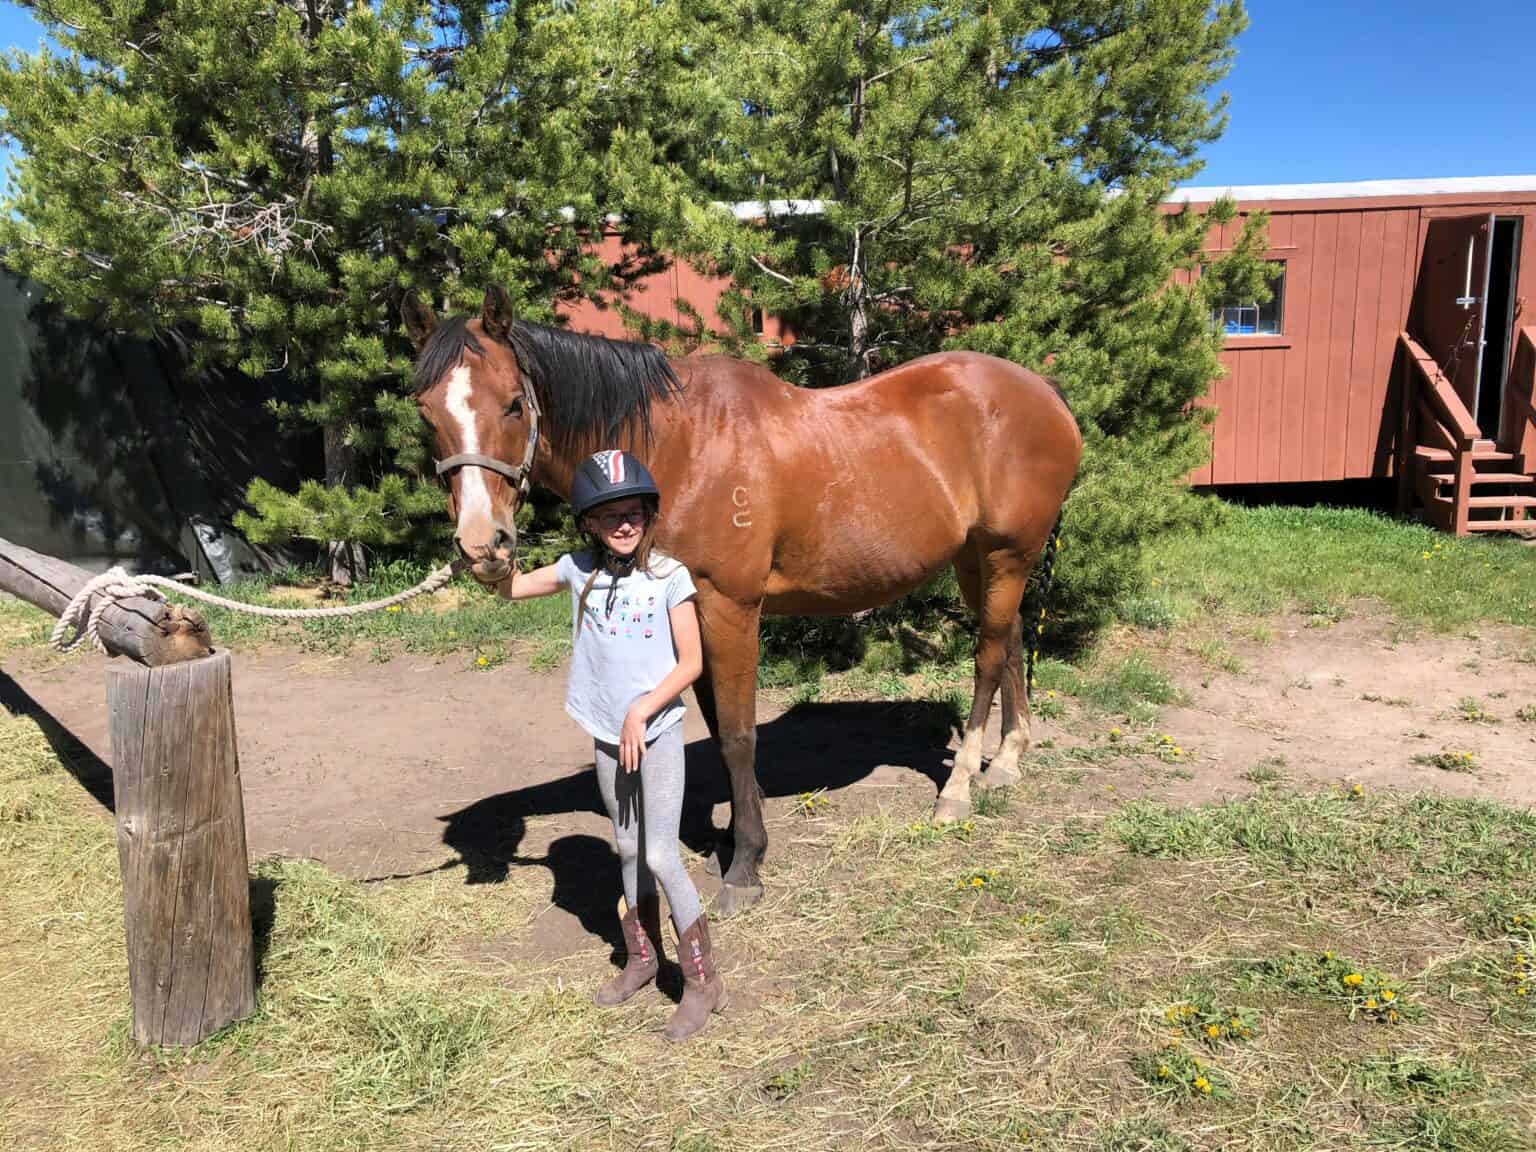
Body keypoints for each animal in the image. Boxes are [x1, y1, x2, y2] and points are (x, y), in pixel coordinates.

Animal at [404, 285, 1081, 917]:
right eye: (426, 415)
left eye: (514, 404)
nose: (482, 545)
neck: (678, 445)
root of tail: (1045, 393)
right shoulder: (693, 613)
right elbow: (714, 720)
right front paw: (729, 839)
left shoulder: (729, 606)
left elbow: (736, 734)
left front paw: (746, 865)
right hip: (978, 560)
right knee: (1009, 639)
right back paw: (1007, 761)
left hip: (1007, 554)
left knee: (988, 658)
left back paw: (959, 788)